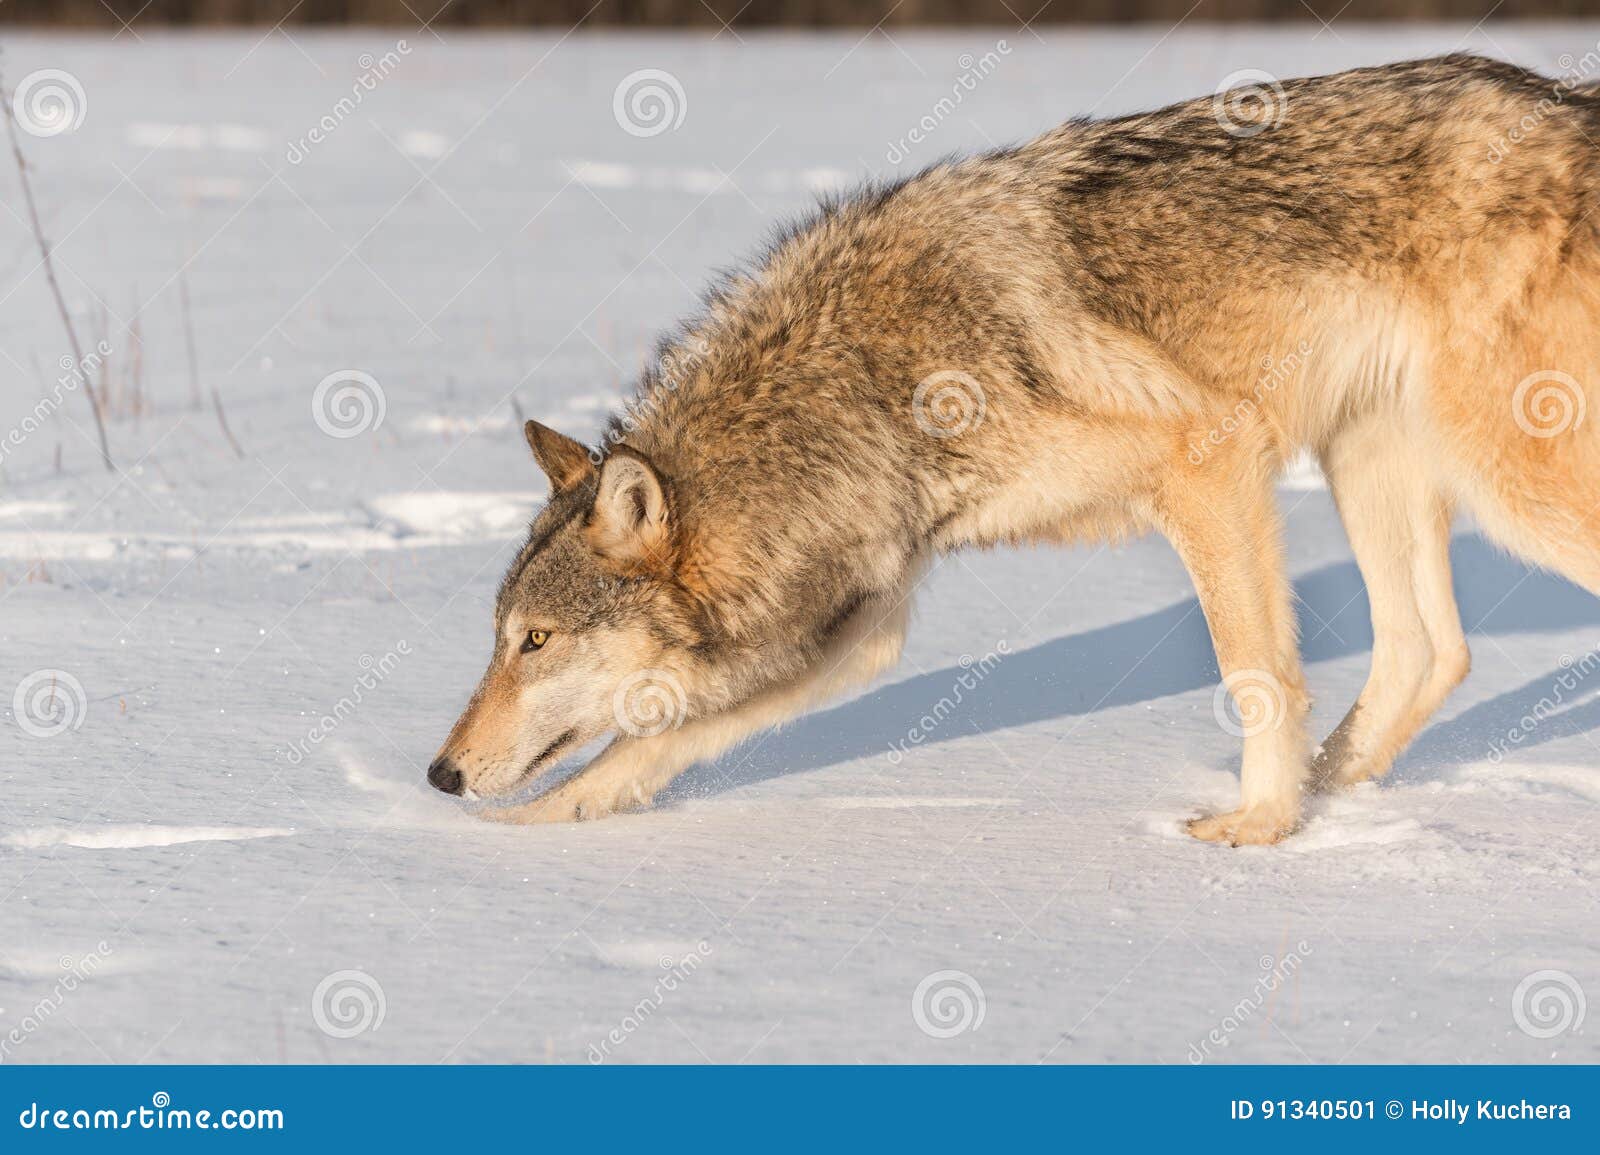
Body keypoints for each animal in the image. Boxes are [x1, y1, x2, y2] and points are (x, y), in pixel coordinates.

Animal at [430, 54, 1600, 844]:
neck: (862, 388)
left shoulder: (1209, 459)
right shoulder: (866, 624)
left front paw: (1256, 833)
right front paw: (509, 845)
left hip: (1512, 481)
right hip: (1372, 458)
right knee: (1431, 652)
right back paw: (1336, 788)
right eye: (499, 639)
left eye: (534, 643)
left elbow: (1257, 672)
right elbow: (649, 745)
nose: (439, 775)